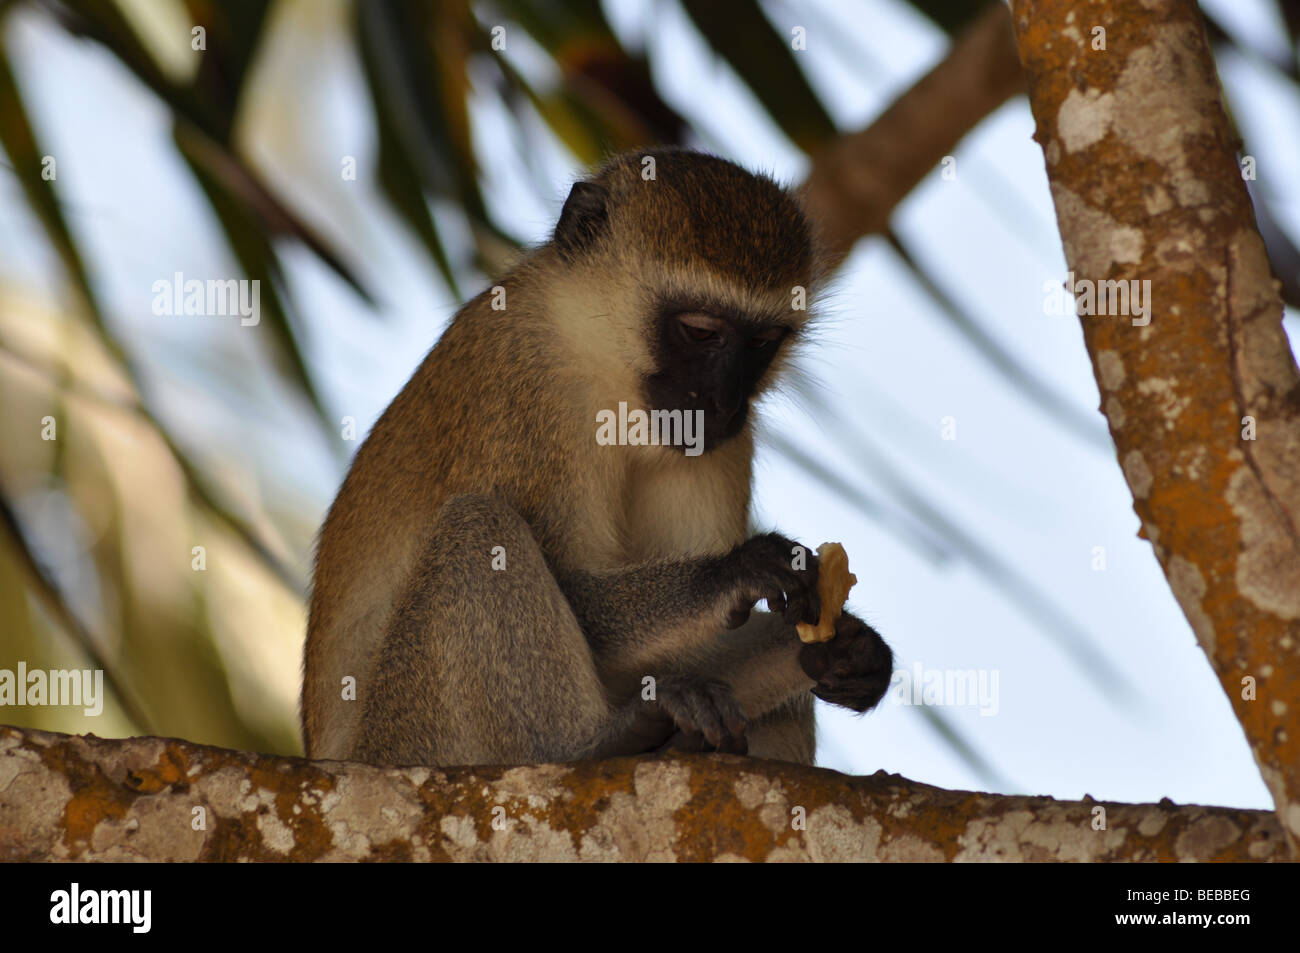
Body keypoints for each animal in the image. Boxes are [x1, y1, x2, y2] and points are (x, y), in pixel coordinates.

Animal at [301, 148, 893, 768]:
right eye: (699, 331)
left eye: (761, 343)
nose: (722, 401)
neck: (601, 363)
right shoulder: (525, 389)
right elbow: (576, 592)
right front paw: (734, 572)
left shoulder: (723, 444)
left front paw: (845, 650)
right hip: (408, 735)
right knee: (476, 529)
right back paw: (588, 746)